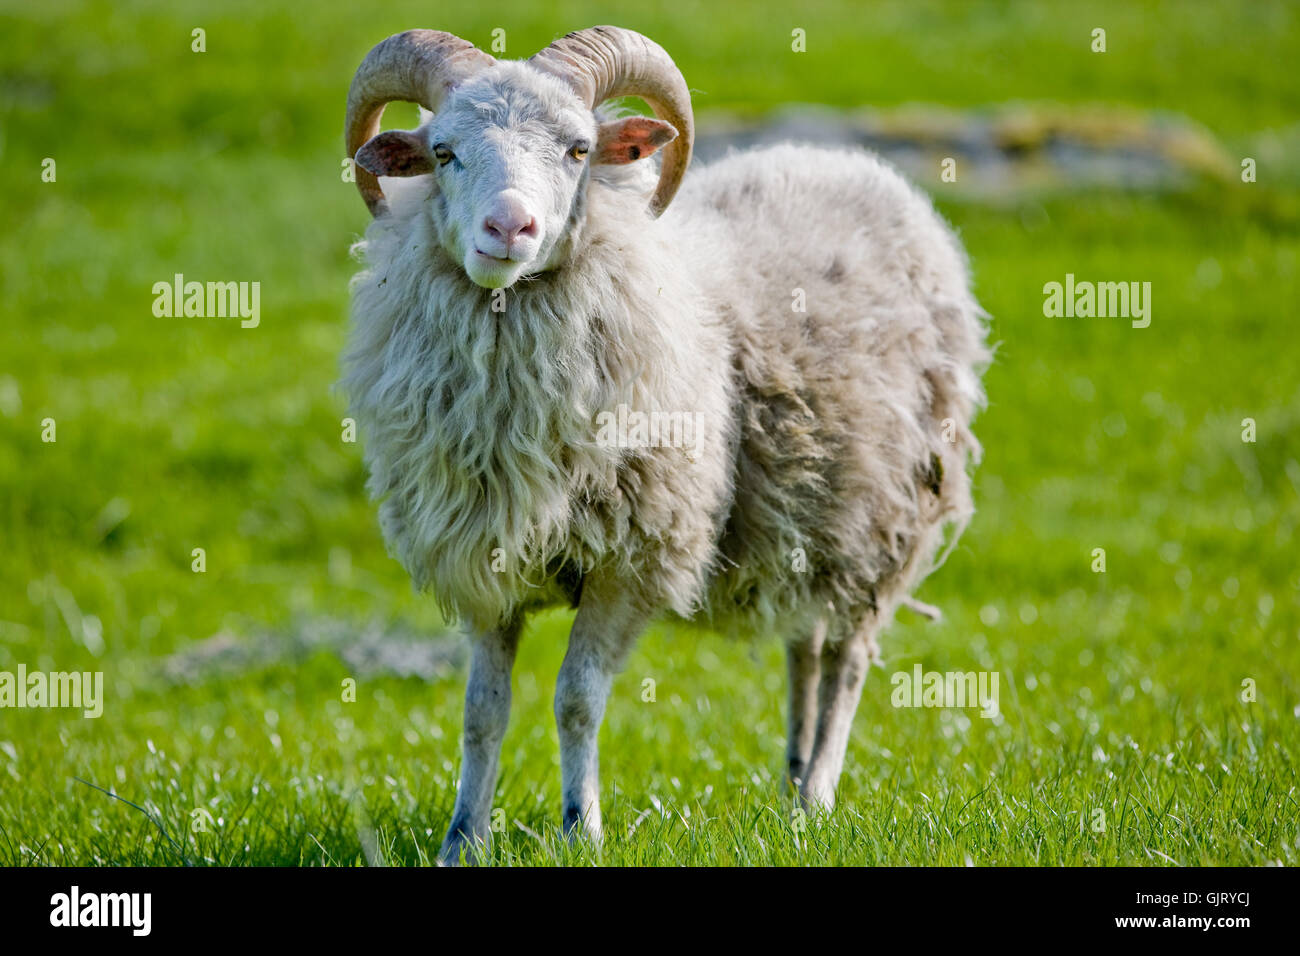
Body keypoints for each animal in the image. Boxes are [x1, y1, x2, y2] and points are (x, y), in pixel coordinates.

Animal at [341, 26, 990, 864]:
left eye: (580, 150)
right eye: (443, 151)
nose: (508, 230)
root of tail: (844, 160)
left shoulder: (635, 560)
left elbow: (577, 699)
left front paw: (581, 830)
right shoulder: (485, 557)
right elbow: (483, 709)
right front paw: (464, 839)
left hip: (886, 519)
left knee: (846, 661)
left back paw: (817, 796)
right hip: (814, 515)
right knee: (806, 646)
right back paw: (791, 786)